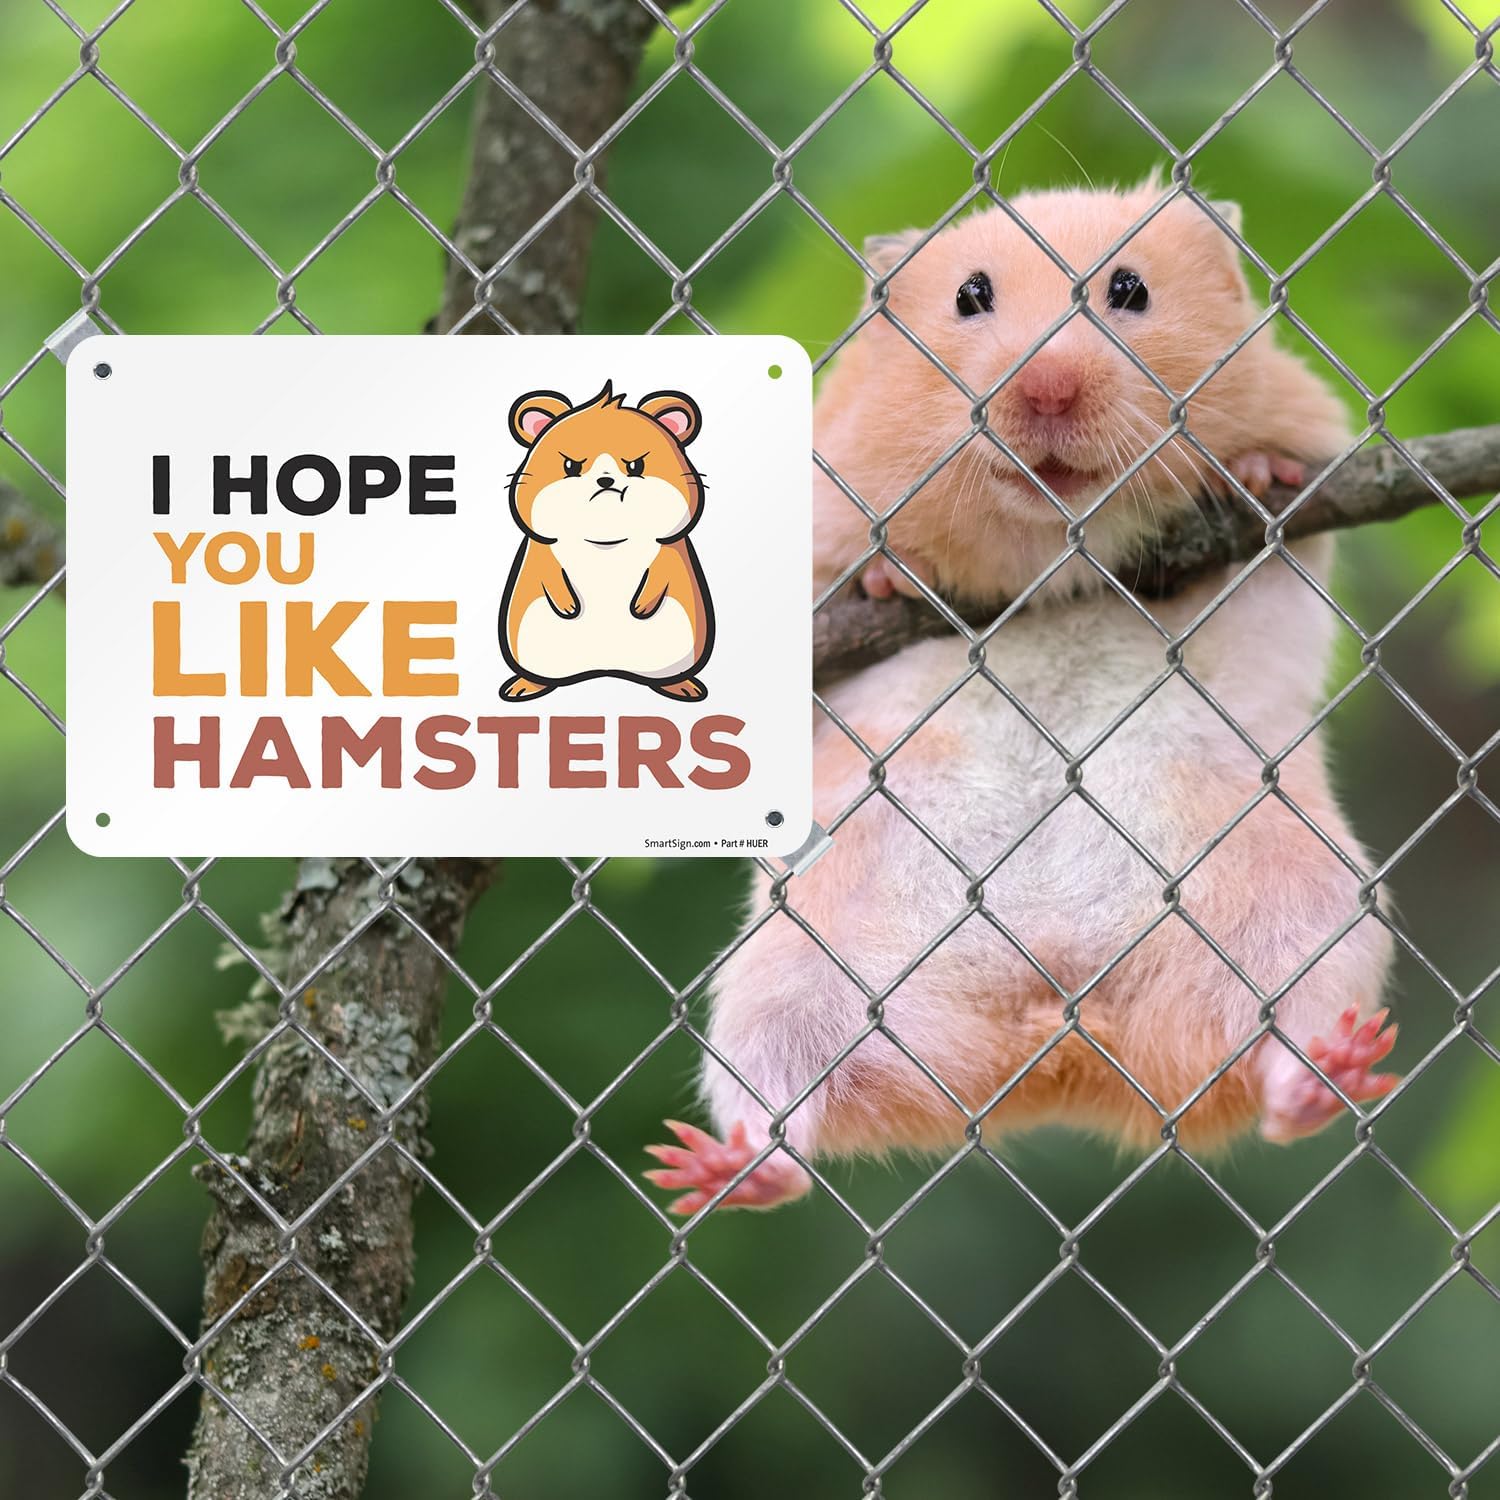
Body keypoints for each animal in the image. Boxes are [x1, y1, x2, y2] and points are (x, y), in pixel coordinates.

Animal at [500, 383, 713, 702]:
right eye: (570, 465)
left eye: (636, 465)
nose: (605, 480)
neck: (605, 536)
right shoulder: (543, 549)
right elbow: (549, 574)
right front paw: (568, 607)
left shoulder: (669, 549)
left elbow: (662, 572)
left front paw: (642, 607)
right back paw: (525, 686)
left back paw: (681, 686)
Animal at [646, 181, 1400, 1216]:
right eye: (971, 296)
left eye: (1129, 290)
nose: (1046, 390)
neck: (1056, 548)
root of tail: (1059, 1040)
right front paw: (890, 575)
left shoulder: (1314, 475)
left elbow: (1281, 510)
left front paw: (1253, 473)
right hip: (784, 976)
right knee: (784, 1116)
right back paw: (716, 1167)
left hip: (1313, 909)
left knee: (1285, 1055)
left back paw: (1336, 1070)